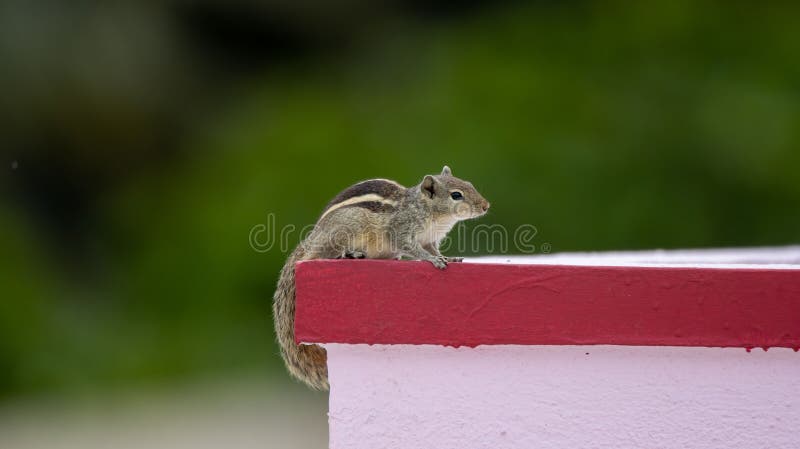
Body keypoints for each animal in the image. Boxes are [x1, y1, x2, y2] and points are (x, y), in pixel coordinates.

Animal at [273, 165, 490, 390]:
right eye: (456, 195)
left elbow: (433, 249)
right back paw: (351, 254)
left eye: (470, 184)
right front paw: (432, 260)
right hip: (345, 231)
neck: (431, 213)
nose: (486, 206)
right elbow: (414, 249)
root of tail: (311, 240)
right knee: (322, 255)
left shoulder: (430, 239)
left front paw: (447, 257)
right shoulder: (402, 232)